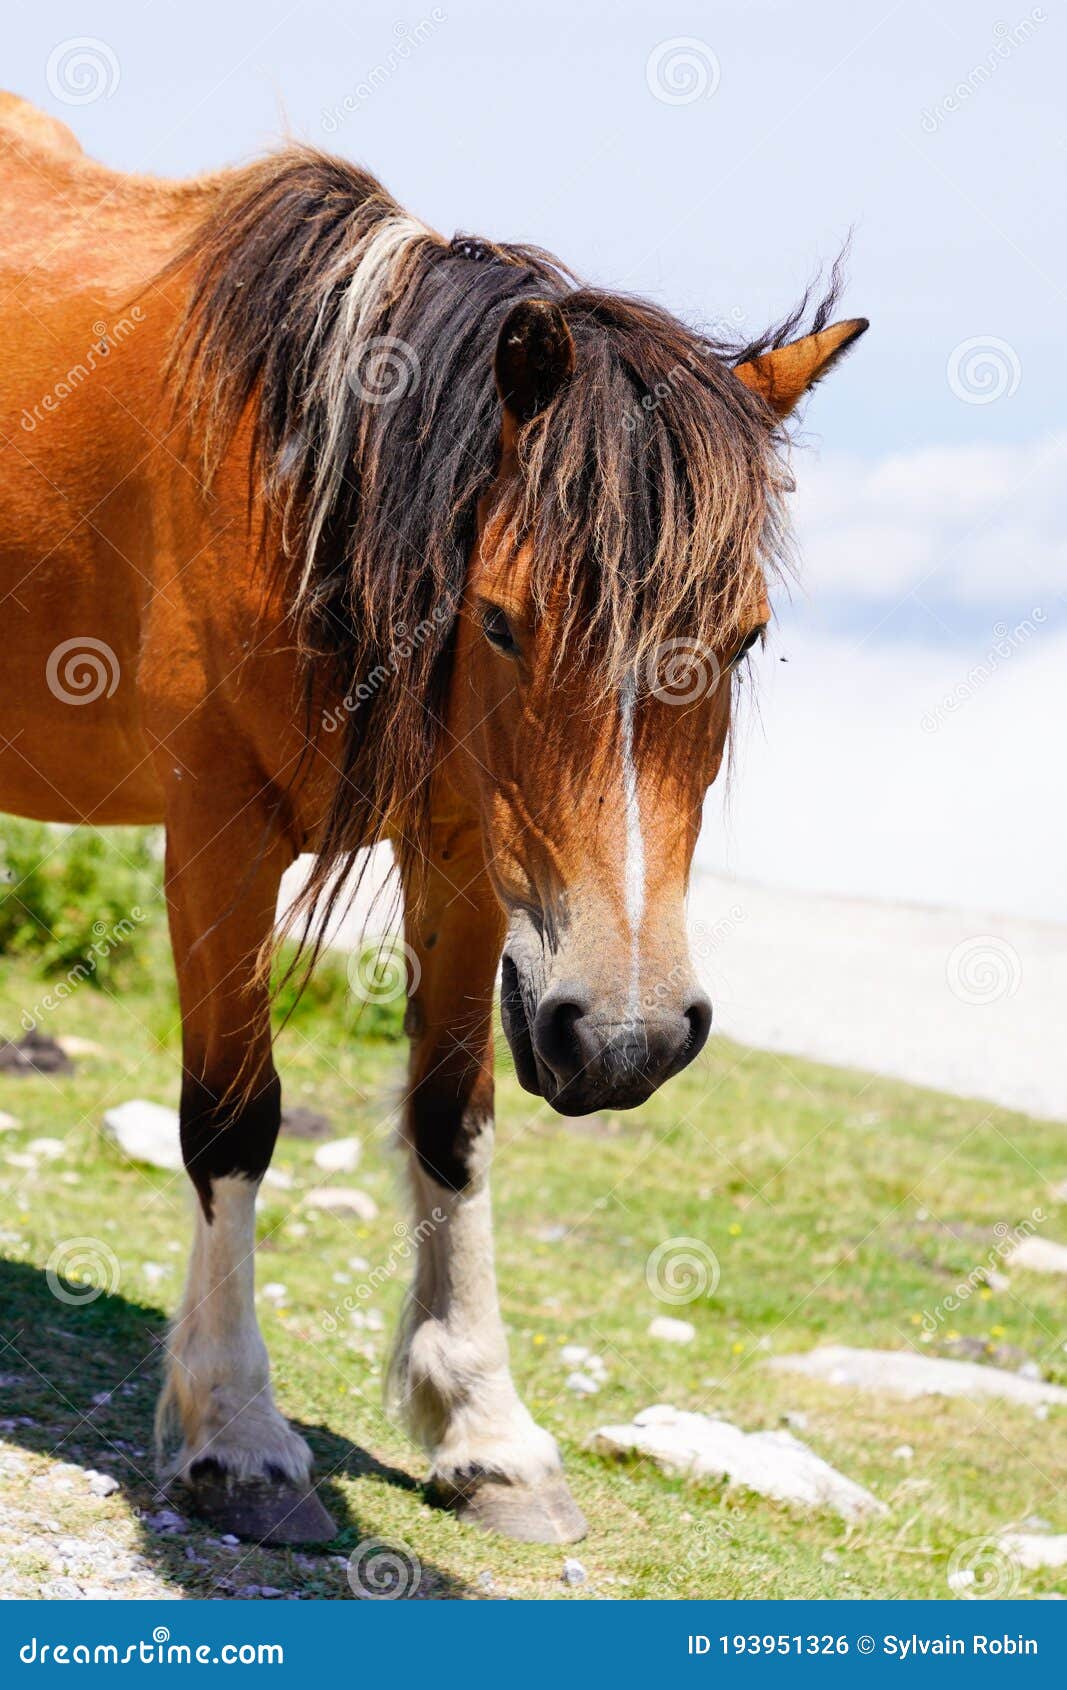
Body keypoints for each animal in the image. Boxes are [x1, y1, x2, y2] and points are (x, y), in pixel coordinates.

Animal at [0, 93, 866, 1547]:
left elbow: (448, 1118)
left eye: (743, 635)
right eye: (504, 620)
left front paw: (483, 1430)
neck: (302, 479)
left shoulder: (462, 857)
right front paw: (237, 1434)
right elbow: (232, 1116)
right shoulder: (219, 835)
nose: (626, 1037)